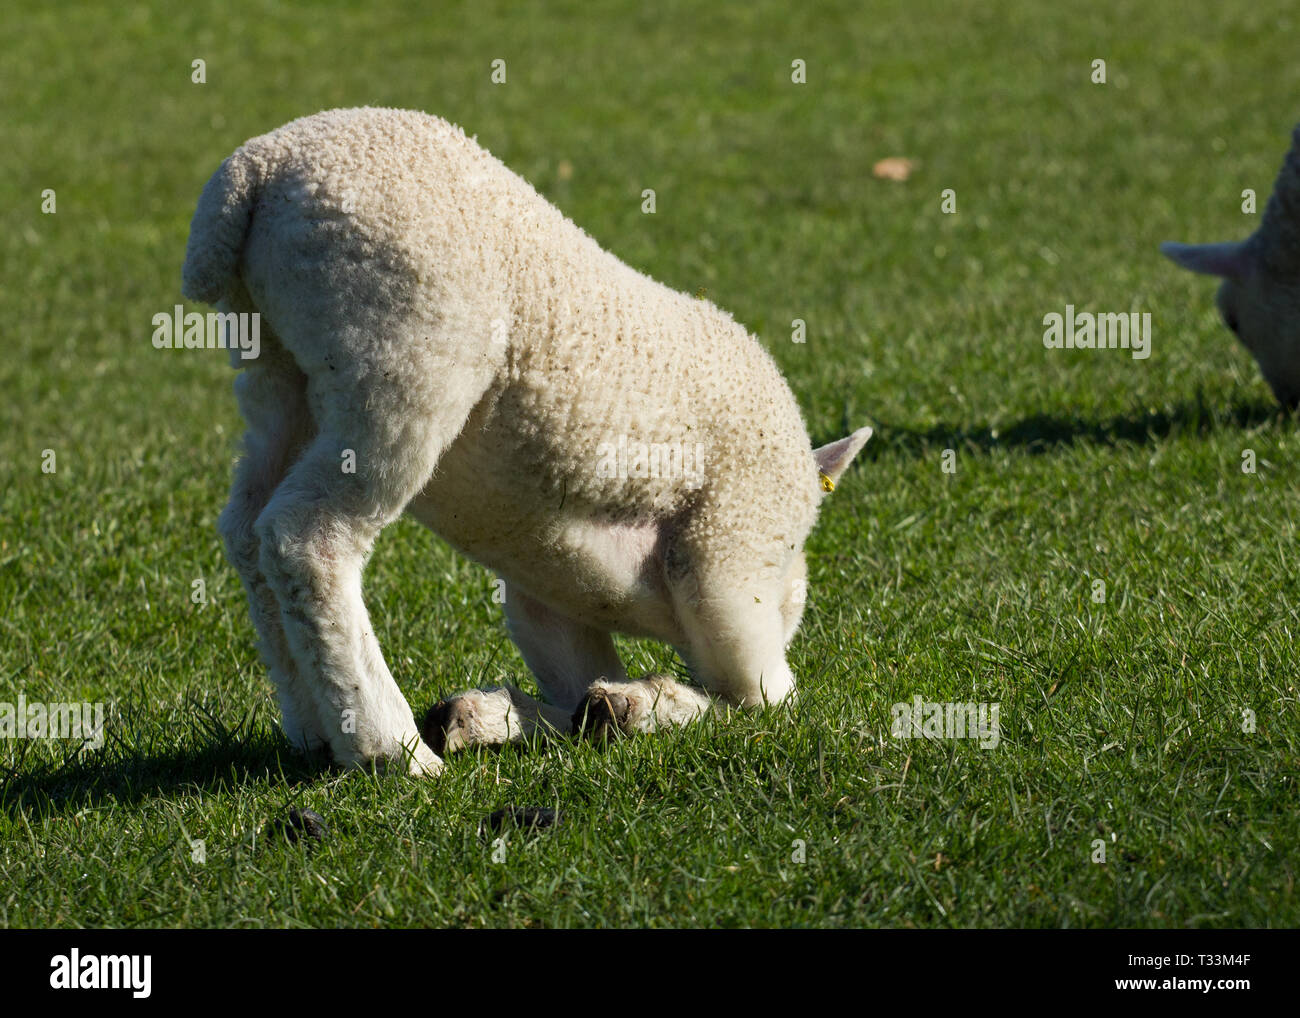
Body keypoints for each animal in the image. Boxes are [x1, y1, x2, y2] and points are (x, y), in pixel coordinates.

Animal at [183, 107, 871, 775]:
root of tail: (253, 174)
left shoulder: (548, 591)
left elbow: (573, 685)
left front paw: (507, 717)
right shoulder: (729, 550)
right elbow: (762, 700)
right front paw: (655, 705)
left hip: (276, 373)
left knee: (247, 531)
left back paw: (317, 733)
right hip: (402, 360)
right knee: (308, 538)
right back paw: (390, 748)